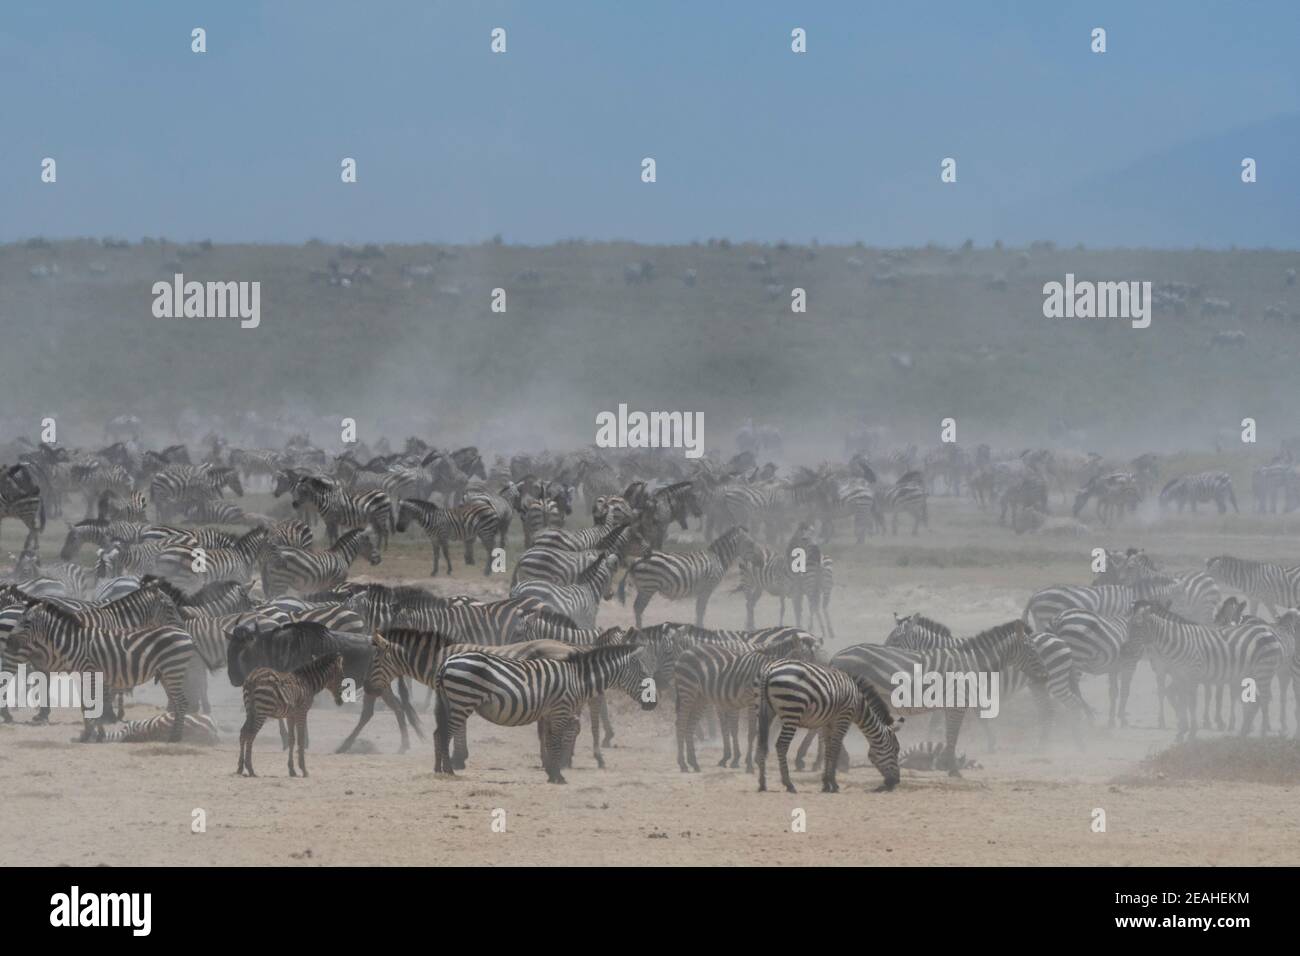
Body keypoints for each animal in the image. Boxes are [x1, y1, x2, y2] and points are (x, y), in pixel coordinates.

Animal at [5, 602, 194, 741]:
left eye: (27, 623)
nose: (9, 643)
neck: (74, 643)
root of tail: (186, 634)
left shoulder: (90, 672)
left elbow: (92, 705)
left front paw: (90, 734)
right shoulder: (84, 675)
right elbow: (88, 705)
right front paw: (95, 733)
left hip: (173, 670)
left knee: (182, 702)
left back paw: (175, 738)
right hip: (167, 674)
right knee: (177, 703)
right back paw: (173, 734)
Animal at [434, 643, 658, 782]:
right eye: (644, 675)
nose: (653, 704)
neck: (577, 679)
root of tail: (446, 662)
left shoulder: (550, 714)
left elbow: (549, 742)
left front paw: (552, 773)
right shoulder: (560, 710)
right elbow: (556, 742)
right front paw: (558, 776)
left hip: (449, 701)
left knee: (438, 733)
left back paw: (438, 769)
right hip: (462, 700)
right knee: (446, 733)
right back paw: (449, 770)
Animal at [618, 525, 756, 627]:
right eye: (750, 544)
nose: (758, 559)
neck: (718, 558)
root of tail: (635, 560)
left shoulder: (702, 590)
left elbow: (699, 610)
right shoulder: (707, 587)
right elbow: (701, 610)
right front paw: (700, 628)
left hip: (643, 588)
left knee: (637, 608)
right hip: (648, 587)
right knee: (638, 608)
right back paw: (640, 630)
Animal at [755, 660, 902, 793]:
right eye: (896, 750)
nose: (896, 782)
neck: (859, 704)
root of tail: (769, 669)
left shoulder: (827, 723)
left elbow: (828, 749)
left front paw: (825, 784)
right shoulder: (843, 718)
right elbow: (835, 748)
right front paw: (833, 783)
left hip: (766, 712)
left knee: (761, 745)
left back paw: (762, 784)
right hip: (792, 710)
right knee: (781, 745)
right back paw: (789, 784)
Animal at [1125, 601, 1281, 740]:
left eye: (1138, 627)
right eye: (1129, 626)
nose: (1126, 651)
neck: (1178, 642)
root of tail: (1268, 630)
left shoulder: (1192, 676)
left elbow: (1192, 704)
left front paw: (1192, 732)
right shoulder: (1180, 677)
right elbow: (1182, 702)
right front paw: (1182, 731)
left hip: (1263, 671)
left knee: (1264, 700)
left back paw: (1262, 734)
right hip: (1248, 674)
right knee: (1257, 701)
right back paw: (1243, 733)